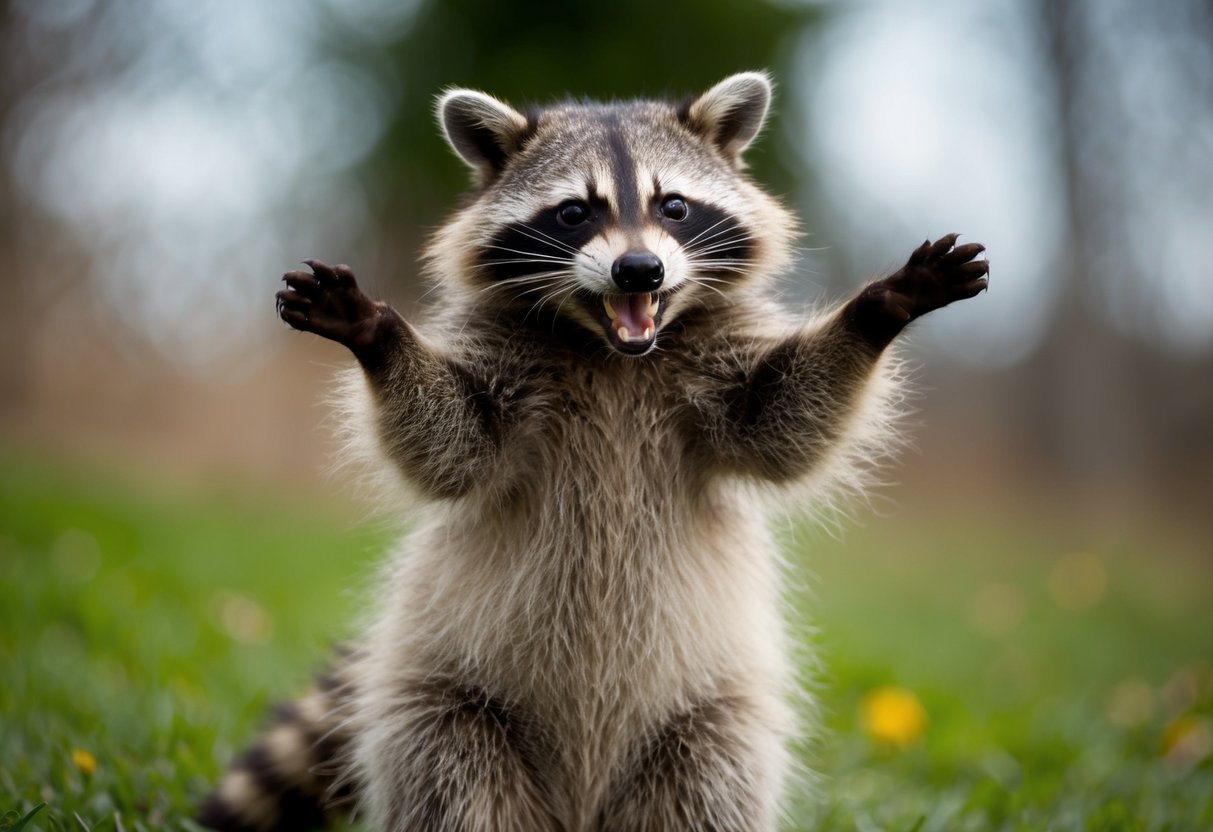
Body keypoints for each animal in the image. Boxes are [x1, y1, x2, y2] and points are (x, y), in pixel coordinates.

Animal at [198, 72, 988, 832]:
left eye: (674, 206)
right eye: (574, 213)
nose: (639, 271)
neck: (615, 352)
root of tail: (580, 811)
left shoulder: (719, 373)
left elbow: (782, 424)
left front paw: (876, 310)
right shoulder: (500, 367)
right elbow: (449, 442)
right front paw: (378, 335)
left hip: (708, 720)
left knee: (709, 785)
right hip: (441, 701)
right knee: (451, 779)